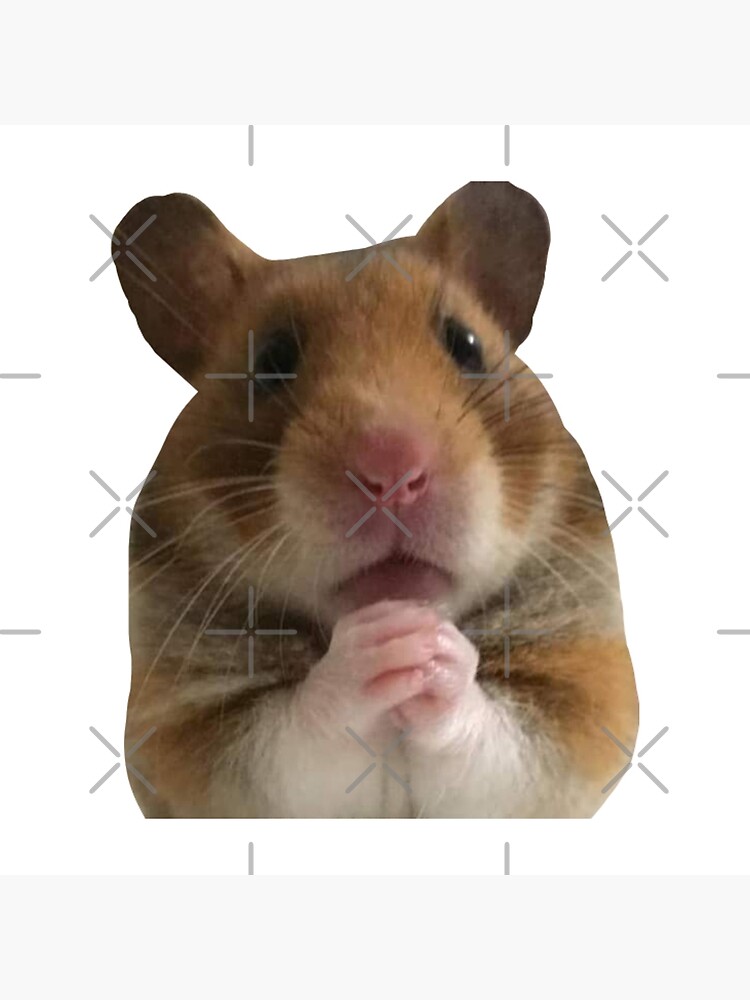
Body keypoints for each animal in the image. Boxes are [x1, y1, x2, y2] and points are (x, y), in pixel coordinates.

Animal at [113, 182, 638, 818]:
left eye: (465, 344)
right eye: (271, 361)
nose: (390, 473)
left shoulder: (582, 707)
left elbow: (498, 739)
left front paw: (428, 642)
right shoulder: (182, 731)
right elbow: (297, 728)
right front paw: (387, 635)